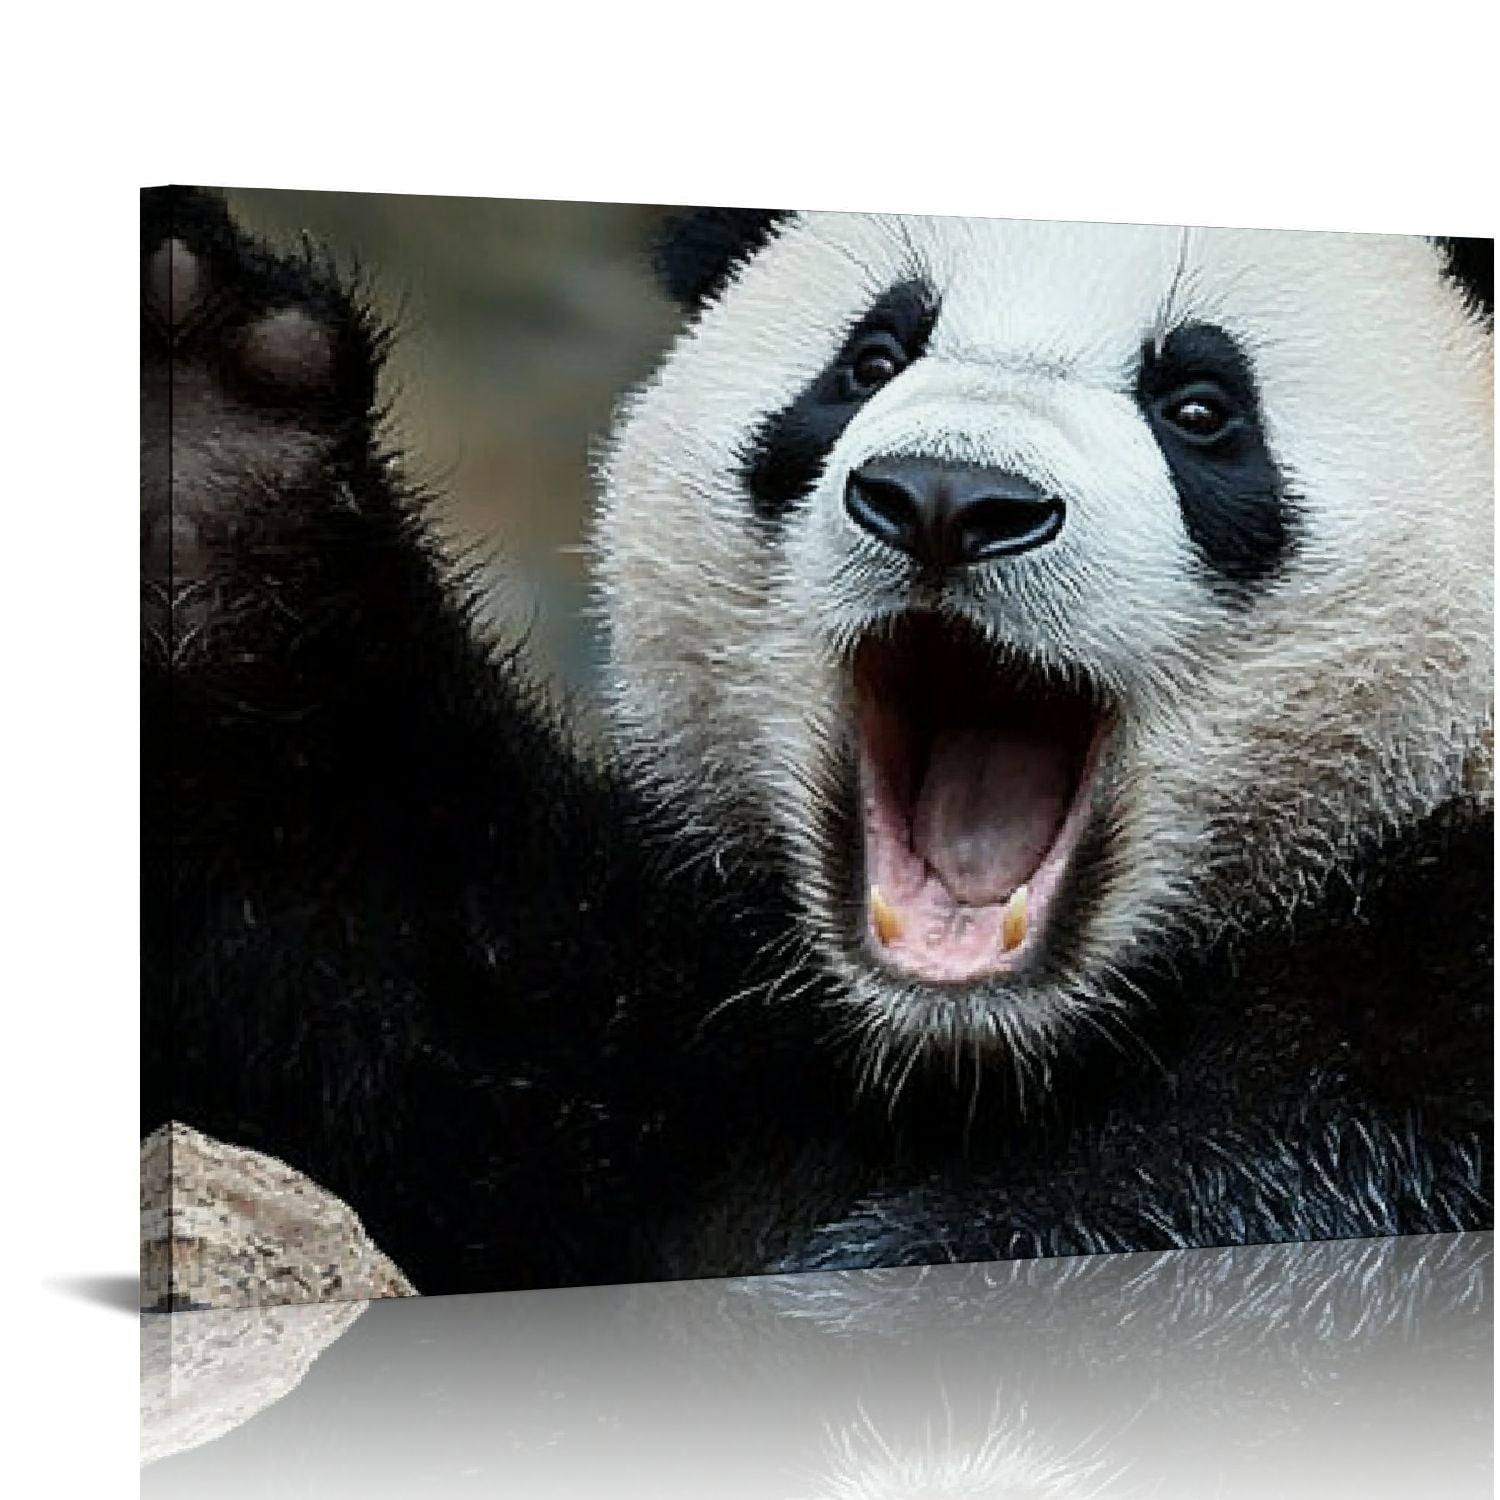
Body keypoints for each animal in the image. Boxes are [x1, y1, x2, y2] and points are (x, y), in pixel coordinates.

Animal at [141, 187, 1493, 1299]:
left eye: (1201, 407)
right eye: (871, 359)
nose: (948, 498)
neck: (972, 1050)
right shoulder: (679, 1016)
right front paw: (200, 418)